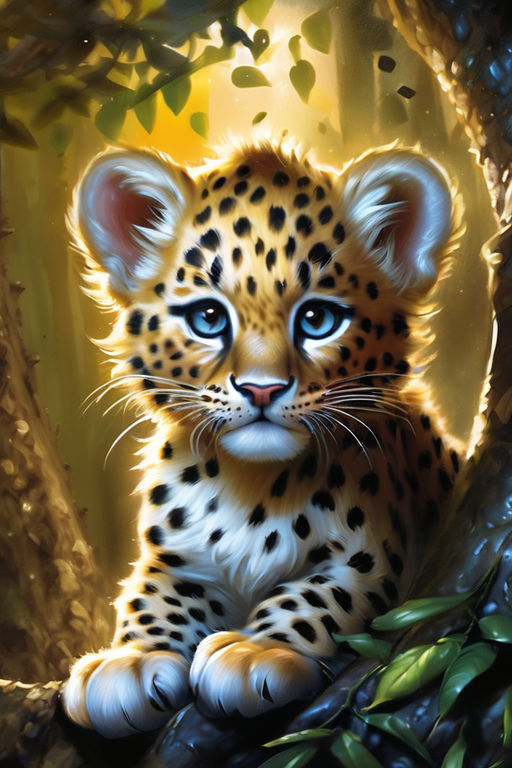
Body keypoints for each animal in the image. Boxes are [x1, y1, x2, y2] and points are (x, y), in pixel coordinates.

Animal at [62, 140, 463, 738]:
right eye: (208, 317)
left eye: (317, 319)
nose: (261, 388)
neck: (250, 487)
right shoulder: (175, 560)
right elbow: (151, 599)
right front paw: (128, 662)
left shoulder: (372, 556)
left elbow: (316, 597)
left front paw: (254, 652)